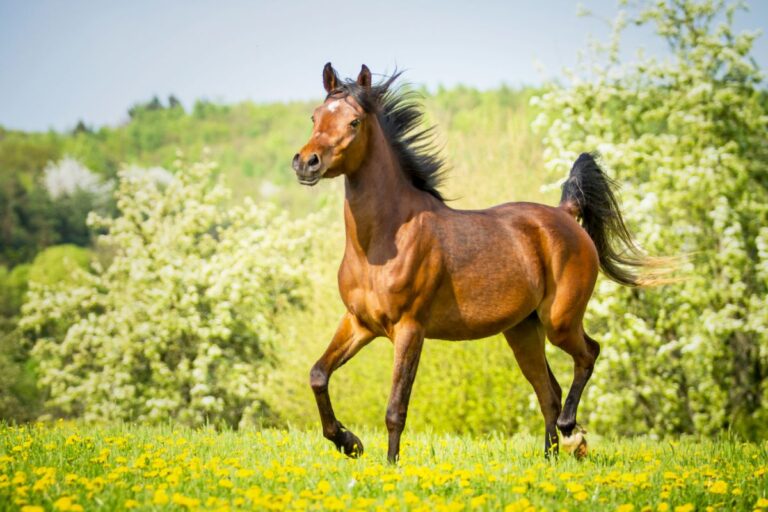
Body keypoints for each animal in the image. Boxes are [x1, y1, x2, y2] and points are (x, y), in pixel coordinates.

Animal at [292, 63, 653, 463]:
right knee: (549, 392)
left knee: (588, 355)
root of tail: (564, 214)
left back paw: (570, 430)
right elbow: (318, 375)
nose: (306, 163)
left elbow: (395, 409)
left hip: (559, 321)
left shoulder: (409, 329)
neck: (383, 242)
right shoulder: (359, 323)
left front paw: (388, 464)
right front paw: (348, 442)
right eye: (315, 116)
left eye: (354, 122)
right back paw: (550, 458)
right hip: (523, 331)